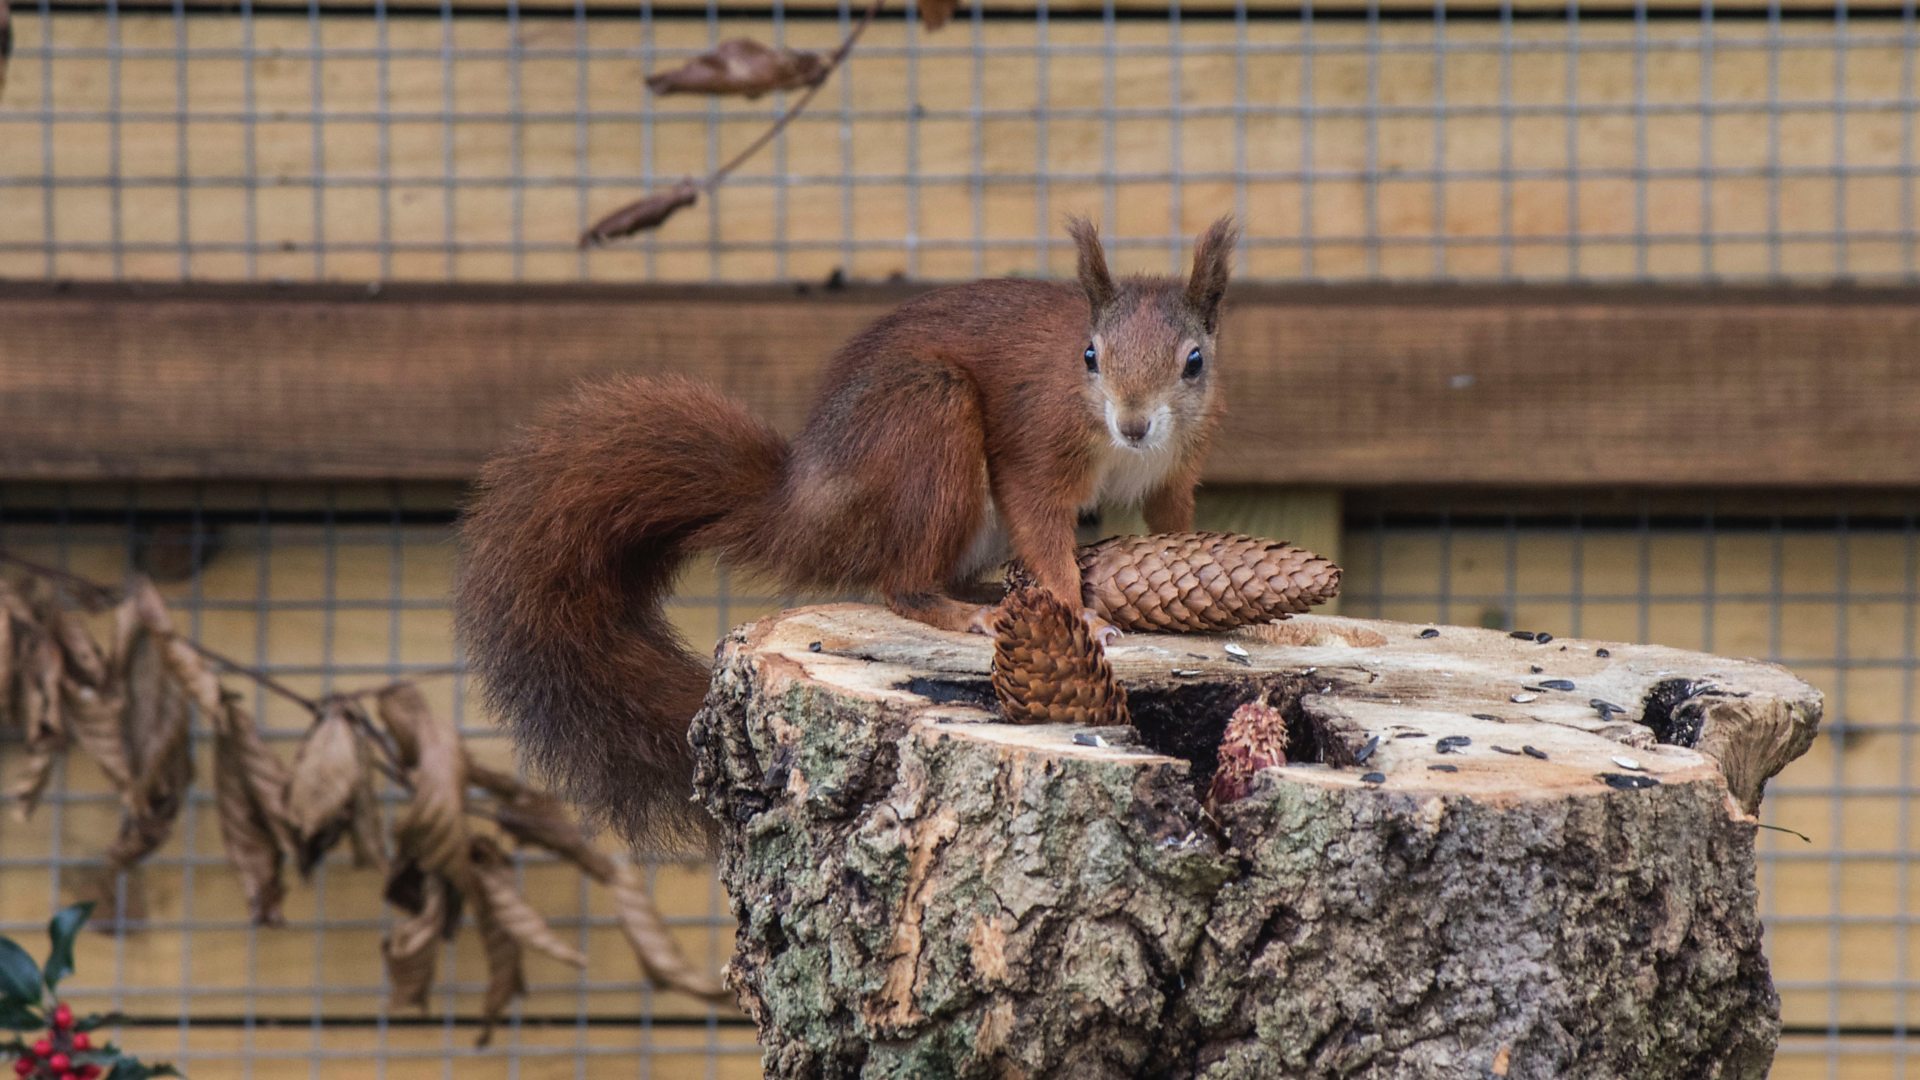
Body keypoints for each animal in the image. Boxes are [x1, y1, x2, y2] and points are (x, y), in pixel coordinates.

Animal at [453, 216, 1238, 851]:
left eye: (1194, 361)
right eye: (1090, 356)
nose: (1133, 423)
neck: (1122, 444)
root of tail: (812, 502)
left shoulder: (1177, 469)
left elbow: (1172, 518)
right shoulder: (1038, 448)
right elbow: (1042, 527)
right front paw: (1080, 613)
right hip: (926, 416)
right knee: (902, 585)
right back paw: (969, 613)